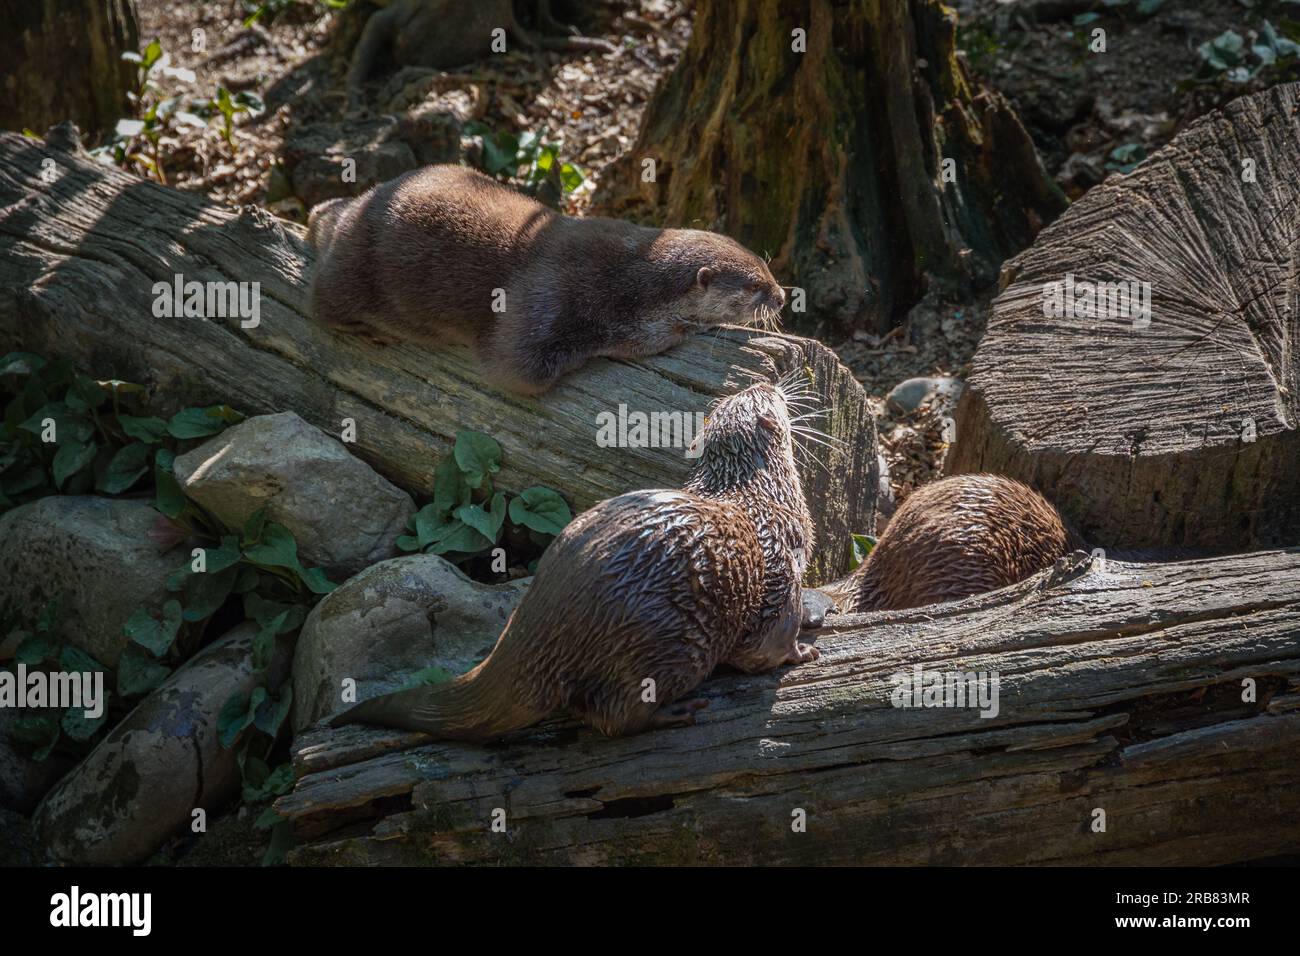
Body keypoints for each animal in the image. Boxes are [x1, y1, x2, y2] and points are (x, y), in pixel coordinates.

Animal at [307, 165, 785, 394]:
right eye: (753, 285)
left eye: (768, 269)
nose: (782, 296)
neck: (631, 280)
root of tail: (356, 207)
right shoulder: (547, 297)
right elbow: (517, 368)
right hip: (351, 271)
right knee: (320, 304)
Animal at [329, 381, 818, 740]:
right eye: (770, 395)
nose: (769, 381)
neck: (759, 491)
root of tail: (543, 624)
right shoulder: (783, 567)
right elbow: (764, 646)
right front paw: (802, 651)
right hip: (661, 642)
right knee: (614, 717)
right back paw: (673, 712)